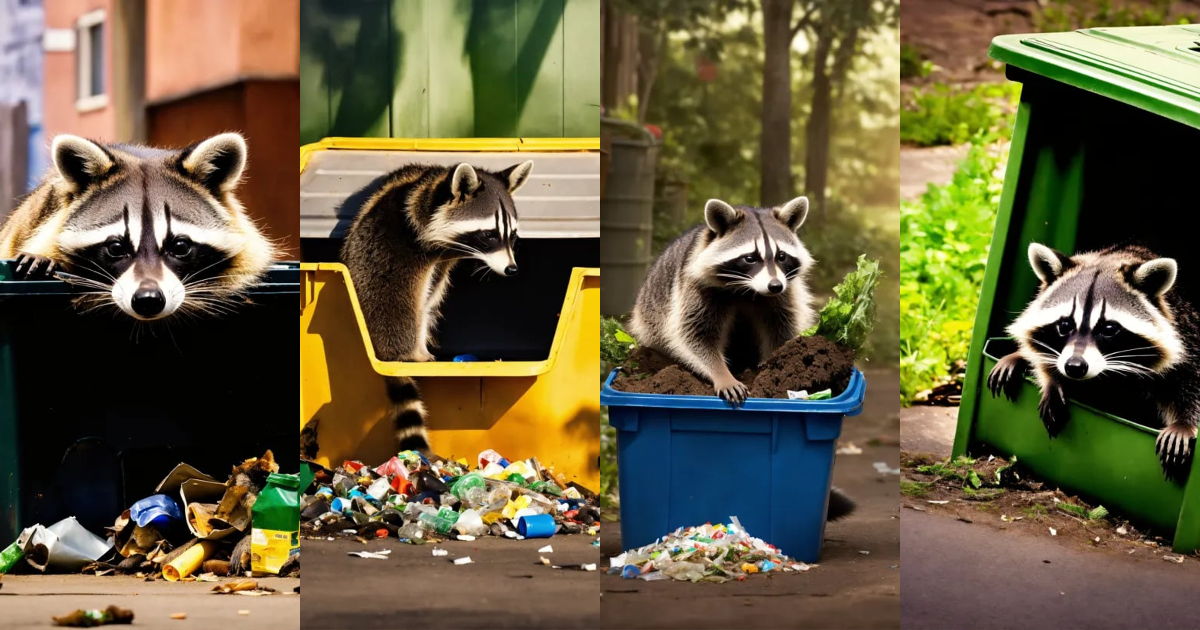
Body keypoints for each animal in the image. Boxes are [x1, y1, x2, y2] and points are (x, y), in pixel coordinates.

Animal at [339, 160, 533, 454]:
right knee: (401, 303)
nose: (512, 269)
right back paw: (410, 353)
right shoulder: (406, 235)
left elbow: (430, 298)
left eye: (512, 236)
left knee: (429, 300)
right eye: (489, 235)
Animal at [988, 242, 1200, 482]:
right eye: (1065, 325)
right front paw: (1052, 379)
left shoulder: (1187, 338)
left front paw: (1184, 423)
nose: (1074, 367)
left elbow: (1188, 382)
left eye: (1108, 329)